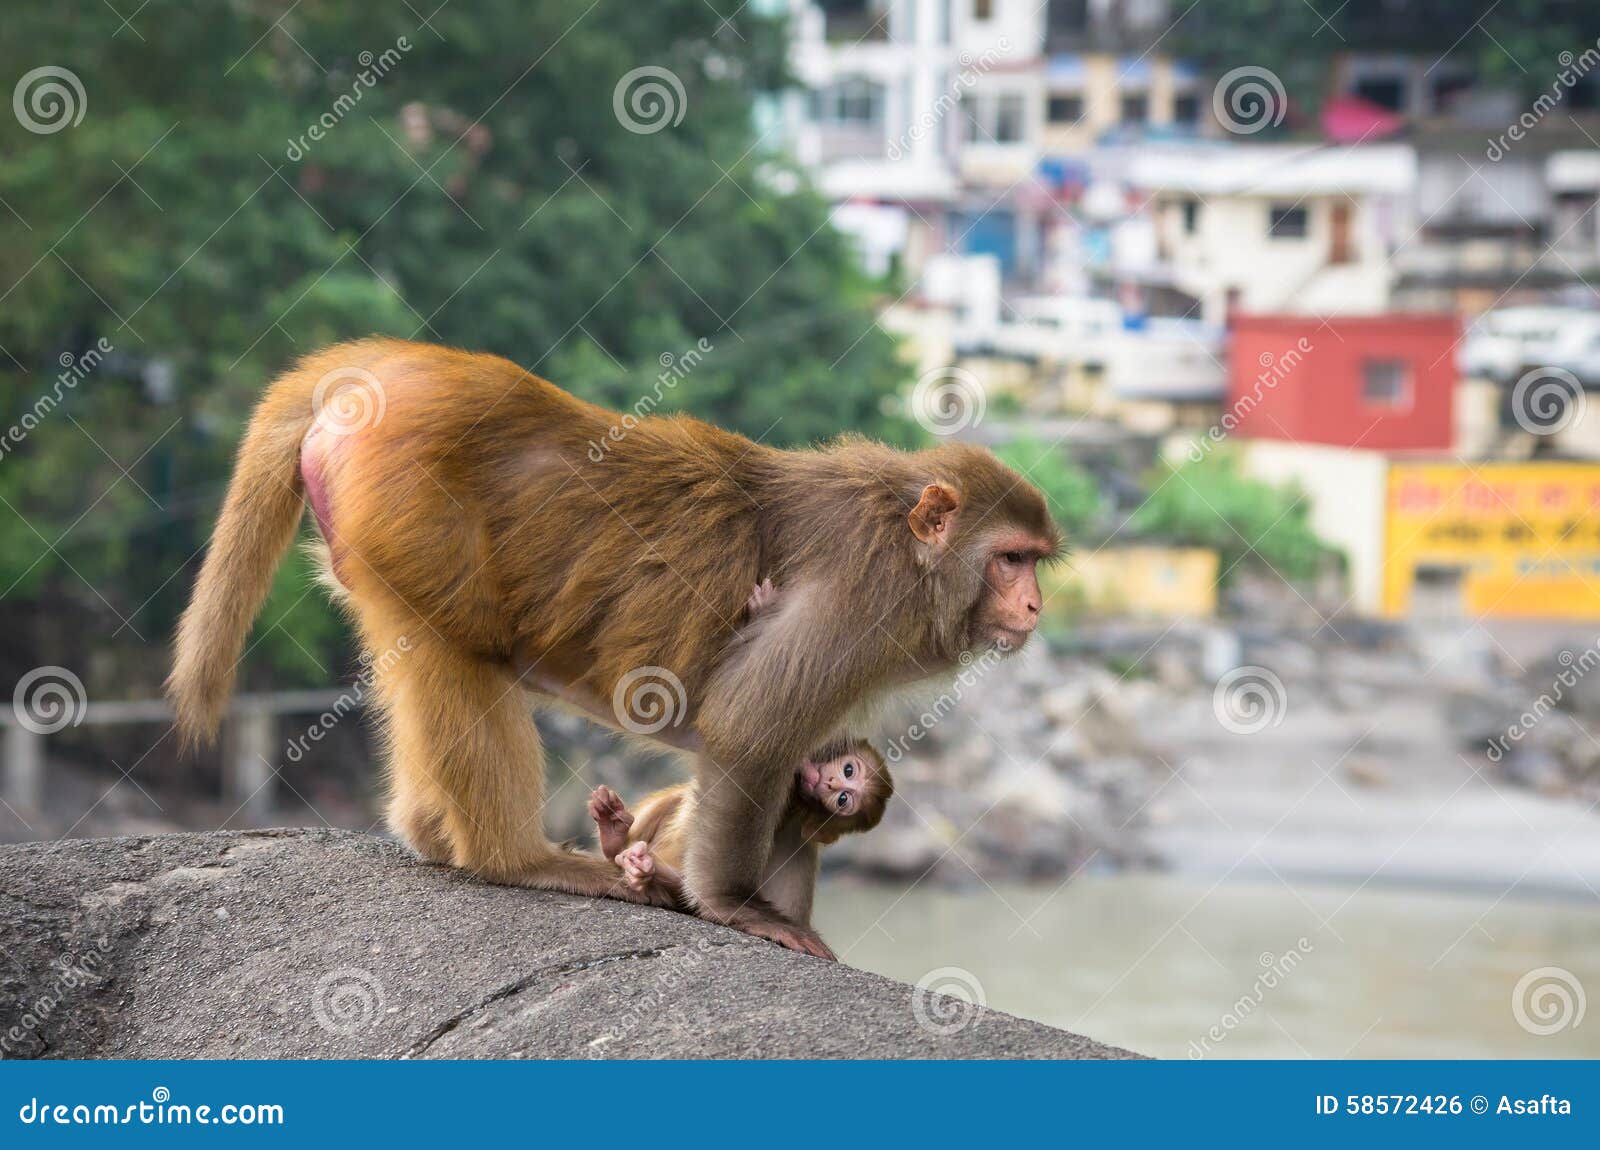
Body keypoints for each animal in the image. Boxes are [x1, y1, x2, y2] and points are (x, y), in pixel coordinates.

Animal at [585, 736, 892, 926]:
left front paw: (645, 870)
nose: (830, 783)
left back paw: (622, 849)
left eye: (843, 800)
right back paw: (615, 837)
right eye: (848, 770)